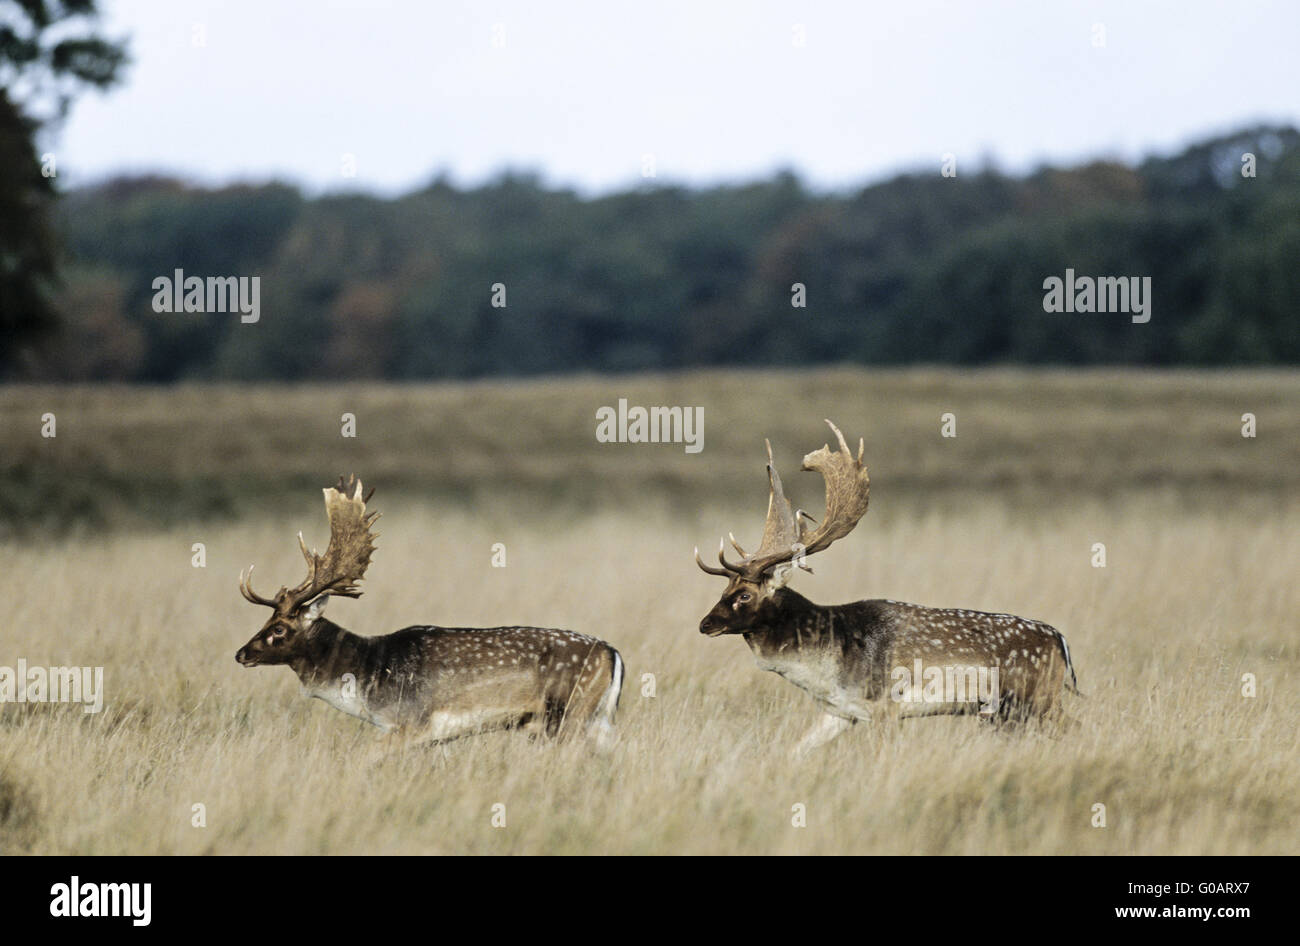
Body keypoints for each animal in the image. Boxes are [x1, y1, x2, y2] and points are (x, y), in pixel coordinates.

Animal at [235, 476, 624, 753]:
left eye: (280, 628)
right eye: (265, 621)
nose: (241, 653)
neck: (366, 673)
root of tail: (612, 653)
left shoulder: (410, 723)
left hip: (569, 714)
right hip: (596, 720)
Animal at [695, 420, 1079, 755]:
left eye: (744, 595)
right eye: (723, 591)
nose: (705, 623)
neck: (827, 663)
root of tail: (1062, 642)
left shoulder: (885, 706)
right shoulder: (841, 711)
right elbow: (797, 750)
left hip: (1036, 699)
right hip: (1005, 711)